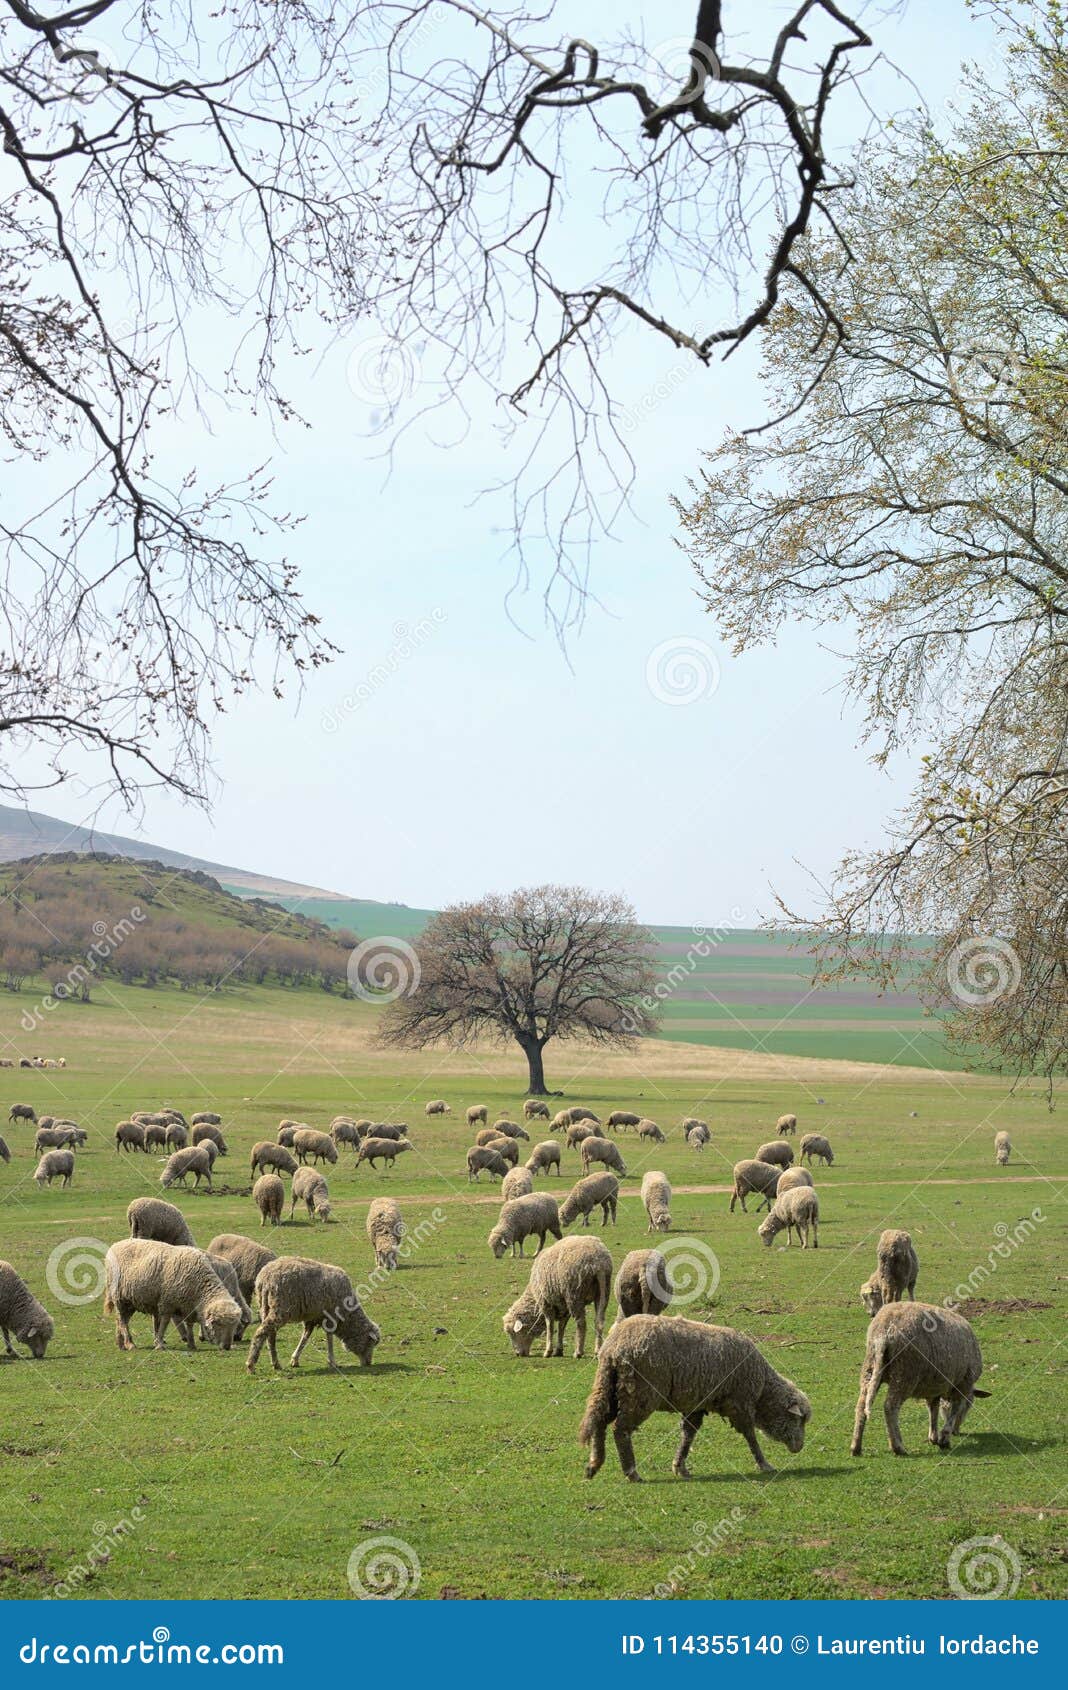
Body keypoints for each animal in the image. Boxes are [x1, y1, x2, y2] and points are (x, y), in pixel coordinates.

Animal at [103, 1239, 242, 1352]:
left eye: (234, 1325)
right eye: (219, 1324)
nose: (227, 1347)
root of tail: (114, 1245)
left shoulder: (189, 1306)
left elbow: (189, 1325)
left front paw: (192, 1344)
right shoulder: (167, 1303)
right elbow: (164, 1323)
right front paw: (159, 1344)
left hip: (130, 1301)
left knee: (120, 1320)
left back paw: (121, 1344)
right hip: (119, 1297)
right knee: (122, 1321)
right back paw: (130, 1344)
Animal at [246, 1257, 380, 1372]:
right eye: (370, 1343)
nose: (368, 1363)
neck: (348, 1317)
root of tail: (265, 1278)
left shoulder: (312, 1318)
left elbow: (306, 1336)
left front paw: (295, 1359)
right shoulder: (331, 1315)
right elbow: (329, 1336)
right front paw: (332, 1362)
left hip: (265, 1306)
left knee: (270, 1335)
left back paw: (275, 1363)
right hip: (280, 1308)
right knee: (261, 1332)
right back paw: (251, 1365)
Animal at [581, 1317, 812, 1480]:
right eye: (798, 1419)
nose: (799, 1447)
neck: (763, 1388)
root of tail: (614, 1348)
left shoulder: (696, 1406)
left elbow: (688, 1435)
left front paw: (680, 1467)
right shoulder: (741, 1404)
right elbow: (750, 1436)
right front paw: (764, 1464)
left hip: (610, 1387)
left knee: (599, 1422)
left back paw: (594, 1464)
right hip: (640, 1393)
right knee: (620, 1429)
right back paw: (632, 1473)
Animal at [850, 1302, 988, 1457]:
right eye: (969, 1405)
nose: (957, 1432)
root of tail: (884, 1332)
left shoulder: (934, 1387)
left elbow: (933, 1409)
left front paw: (933, 1437)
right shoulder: (963, 1383)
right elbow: (954, 1410)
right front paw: (944, 1439)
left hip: (870, 1367)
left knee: (861, 1406)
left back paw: (856, 1447)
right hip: (905, 1373)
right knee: (890, 1406)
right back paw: (898, 1447)